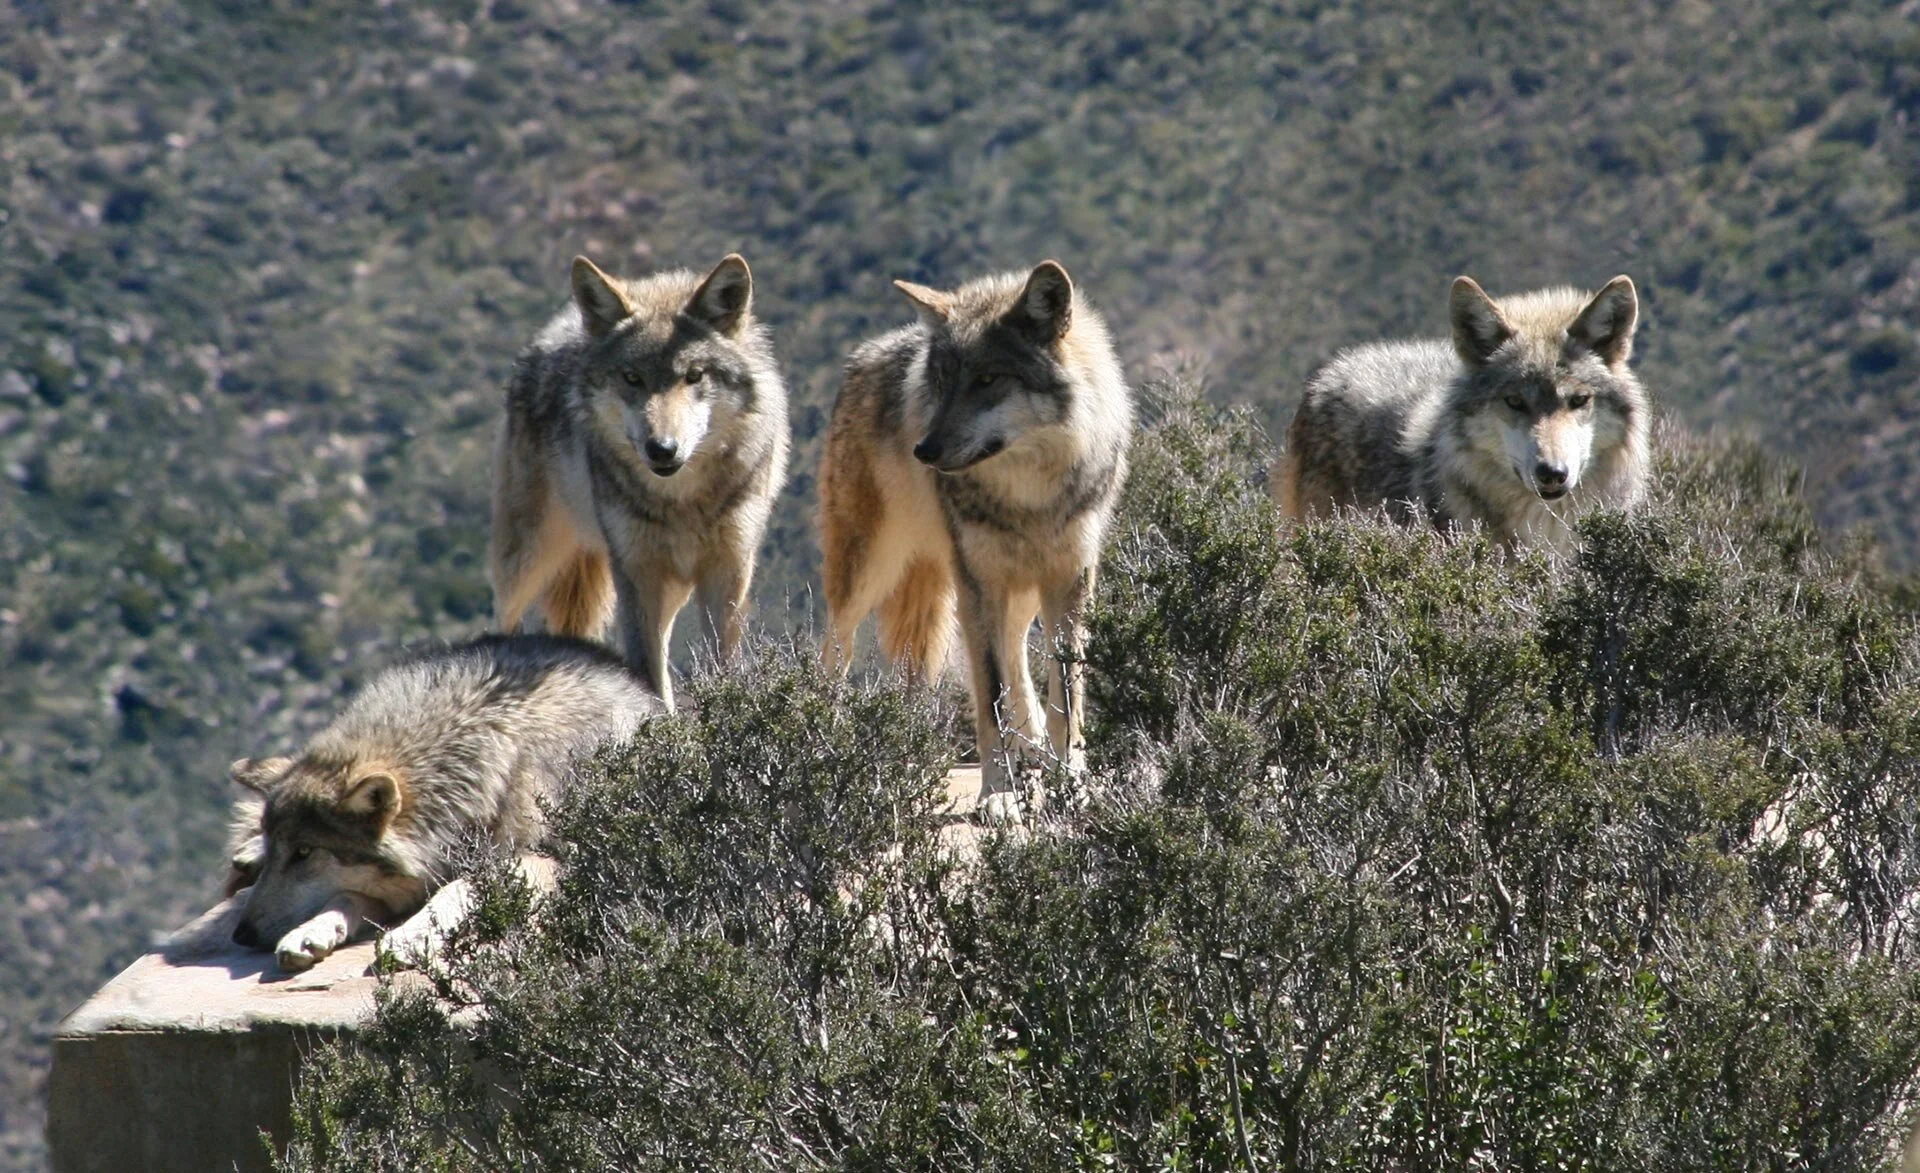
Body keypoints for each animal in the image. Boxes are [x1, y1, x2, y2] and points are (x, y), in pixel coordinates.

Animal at [227, 635, 658, 973]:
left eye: (303, 852)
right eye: (282, 850)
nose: (241, 935)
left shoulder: (538, 854)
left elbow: (456, 888)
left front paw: (409, 936)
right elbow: (344, 895)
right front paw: (311, 931)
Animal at [490, 253, 789, 708]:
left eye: (694, 376)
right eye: (632, 378)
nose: (661, 449)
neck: (681, 501)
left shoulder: (728, 570)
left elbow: (722, 668)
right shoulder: (636, 573)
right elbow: (648, 674)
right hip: (528, 558)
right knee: (505, 619)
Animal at [819, 261, 1133, 812]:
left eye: (987, 379)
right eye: (943, 382)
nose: (925, 450)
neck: (1029, 494)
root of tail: (869, 351)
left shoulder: (1069, 580)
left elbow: (1066, 694)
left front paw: (1071, 780)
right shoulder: (979, 584)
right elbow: (991, 698)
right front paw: (1000, 793)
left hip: (1015, 588)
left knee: (1016, 651)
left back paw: (1034, 749)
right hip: (869, 570)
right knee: (834, 647)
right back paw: (820, 738)